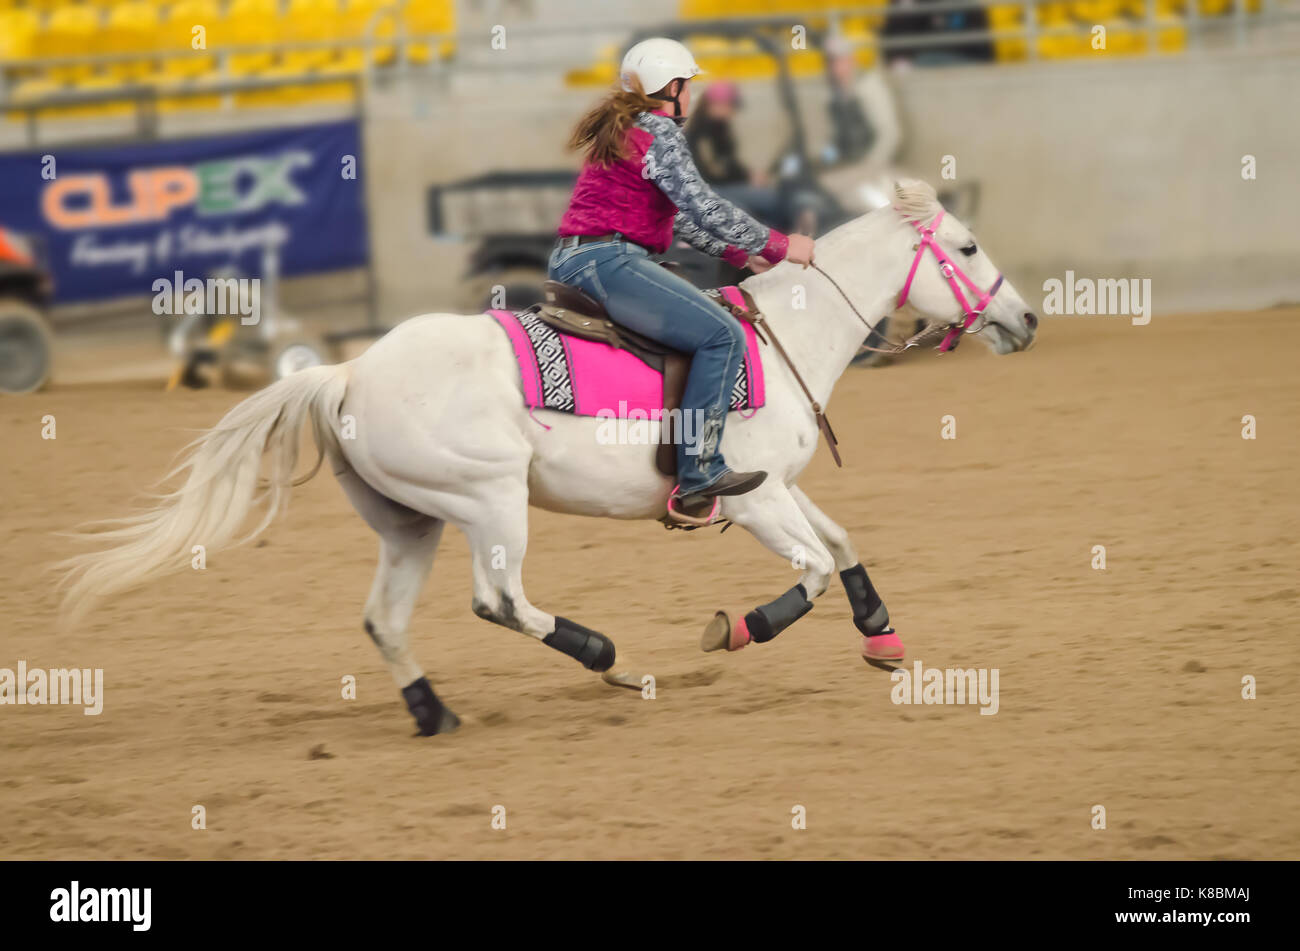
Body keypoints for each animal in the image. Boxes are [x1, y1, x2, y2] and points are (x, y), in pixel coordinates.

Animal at [58, 180, 1037, 736]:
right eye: (967, 246)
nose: (1025, 318)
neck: (780, 335)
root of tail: (347, 371)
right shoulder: (749, 498)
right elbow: (811, 570)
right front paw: (736, 628)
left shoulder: (778, 488)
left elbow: (841, 546)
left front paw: (884, 637)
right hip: (489, 501)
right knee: (502, 600)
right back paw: (614, 660)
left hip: (409, 522)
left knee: (386, 620)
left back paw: (437, 714)